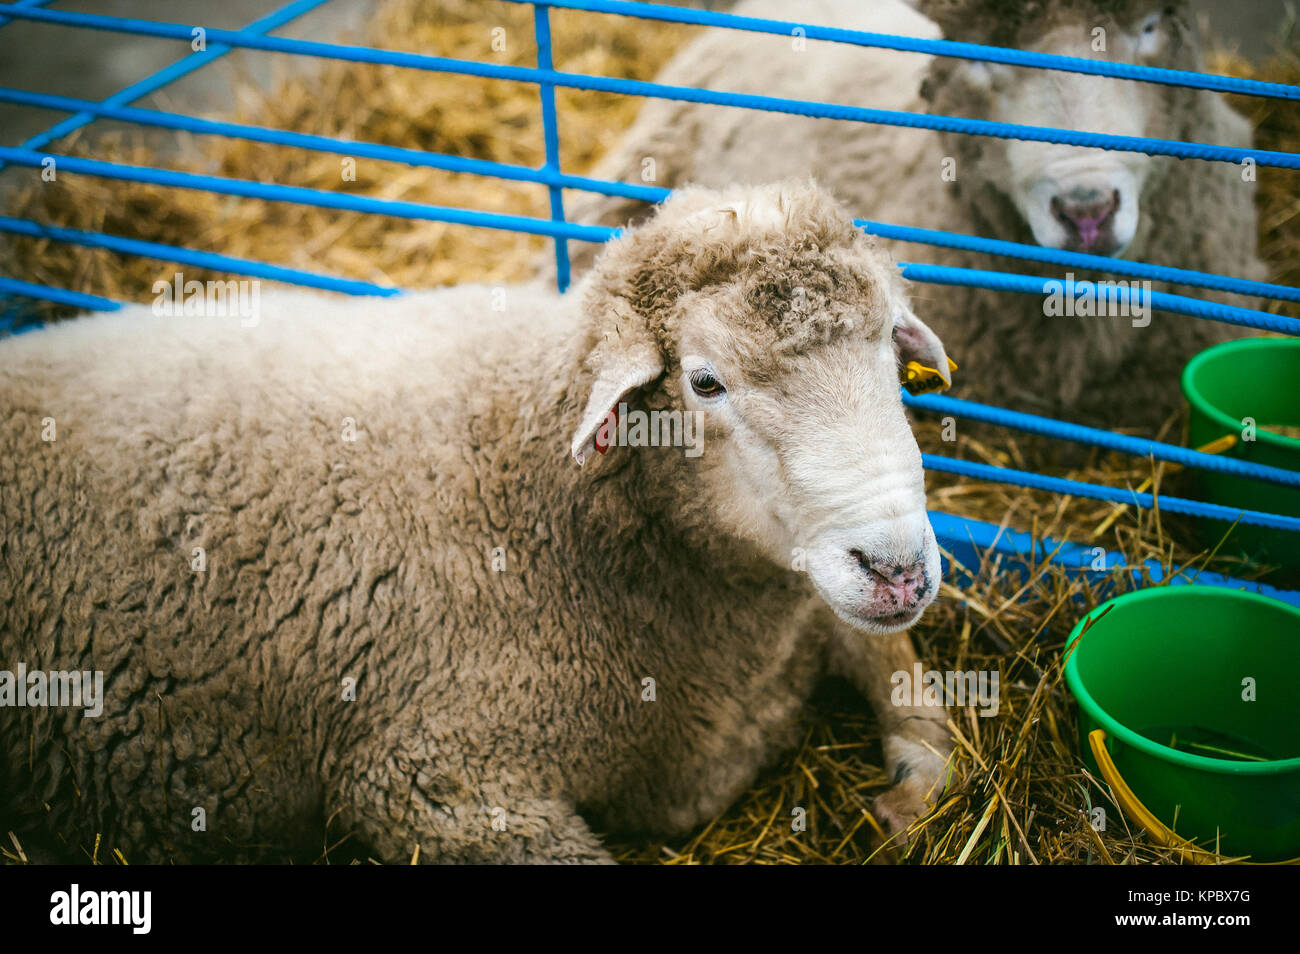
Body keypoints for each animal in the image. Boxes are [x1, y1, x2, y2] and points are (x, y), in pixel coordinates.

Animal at [1, 181, 956, 864]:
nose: (897, 568)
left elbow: (901, 676)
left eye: (888, 344)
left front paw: (912, 792)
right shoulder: (433, 781)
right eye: (705, 381)